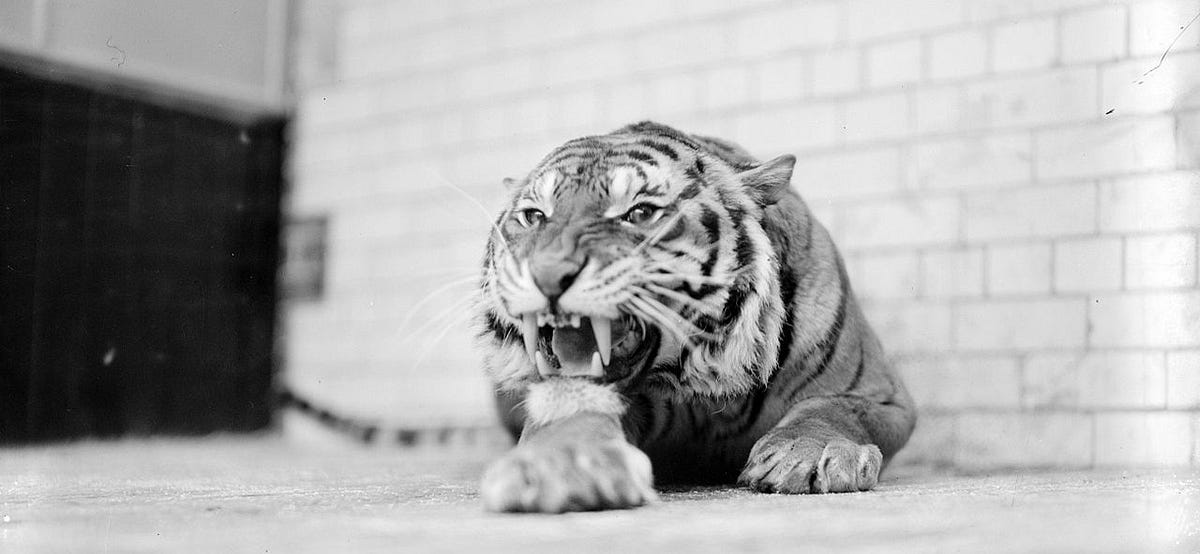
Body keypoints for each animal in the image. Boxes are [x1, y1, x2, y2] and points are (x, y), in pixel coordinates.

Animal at [474, 121, 916, 513]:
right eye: (534, 216)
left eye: (640, 212)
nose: (547, 274)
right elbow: (572, 412)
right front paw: (563, 466)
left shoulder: (881, 395)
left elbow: (833, 409)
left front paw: (811, 452)